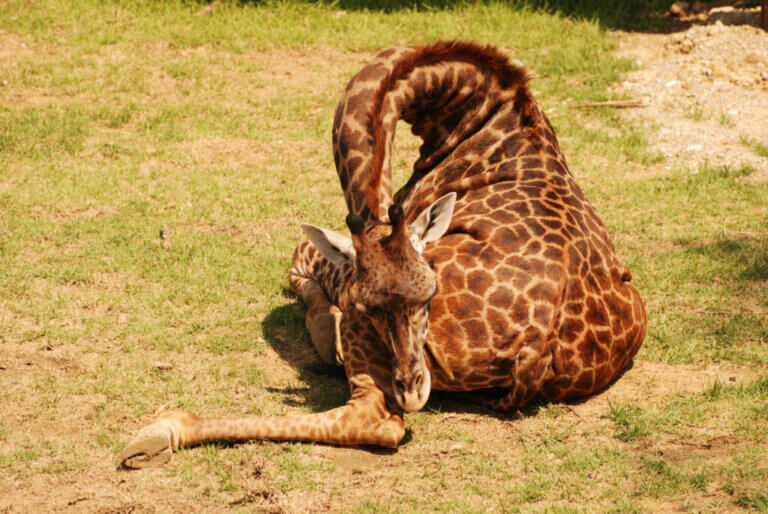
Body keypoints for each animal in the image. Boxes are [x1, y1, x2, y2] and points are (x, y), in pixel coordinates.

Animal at [119, 41, 646, 468]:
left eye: (431, 296)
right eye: (372, 306)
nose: (412, 390)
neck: (480, 117)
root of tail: (537, 346)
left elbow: (303, 251)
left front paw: (323, 325)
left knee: (372, 419)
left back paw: (158, 434)